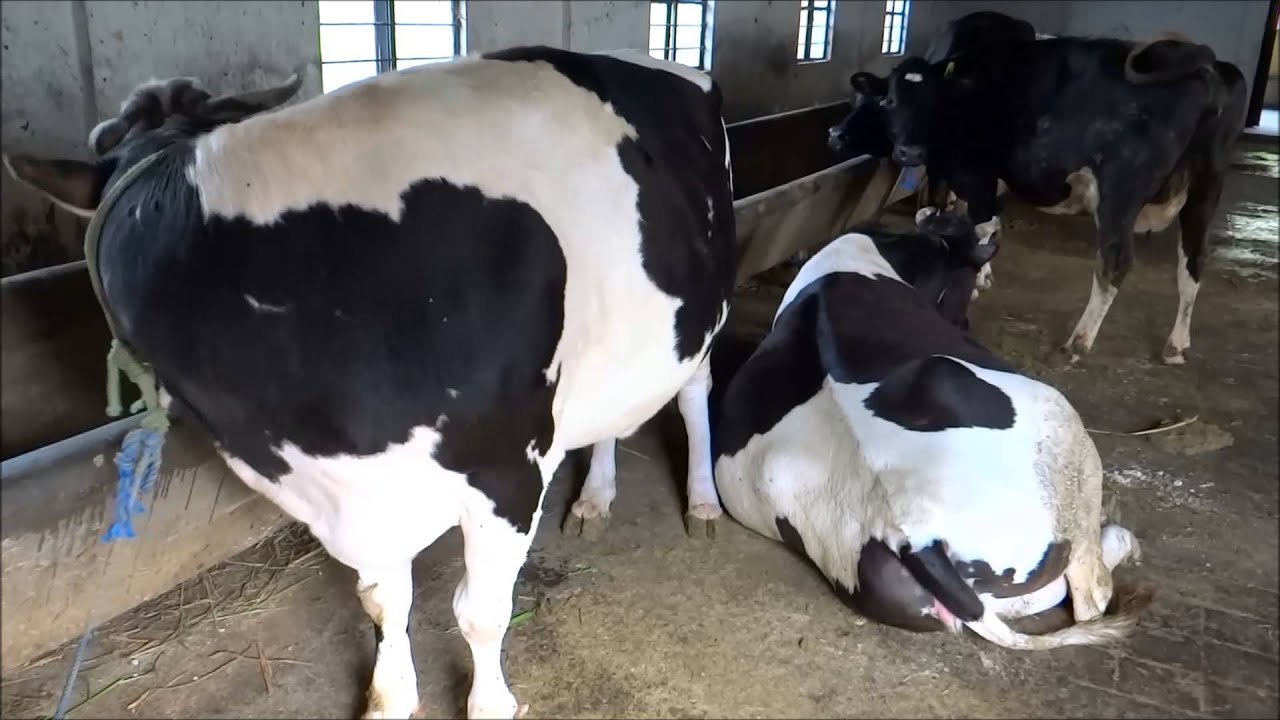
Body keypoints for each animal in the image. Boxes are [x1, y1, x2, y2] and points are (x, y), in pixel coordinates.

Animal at [4, 46, 735, 719]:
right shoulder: (355, 494)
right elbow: (384, 601)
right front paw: (390, 697)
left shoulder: (507, 470)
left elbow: (480, 612)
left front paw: (489, 703)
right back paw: (595, 498)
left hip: (703, 314)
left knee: (693, 393)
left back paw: (703, 503)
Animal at [711, 206, 1147, 650]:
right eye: (969, 278)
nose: (966, 321)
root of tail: (913, 533)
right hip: (1063, 428)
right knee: (1090, 592)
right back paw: (1121, 538)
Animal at [868, 34, 1248, 364]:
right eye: (889, 101)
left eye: (933, 101)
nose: (909, 151)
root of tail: (1208, 66)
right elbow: (980, 224)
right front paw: (984, 273)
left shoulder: (975, 175)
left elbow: (980, 224)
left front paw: (976, 279)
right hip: (1205, 188)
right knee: (1193, 260)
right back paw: (1176, 345)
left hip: (1120, 190)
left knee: (1115, 261)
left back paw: (1079, 341)